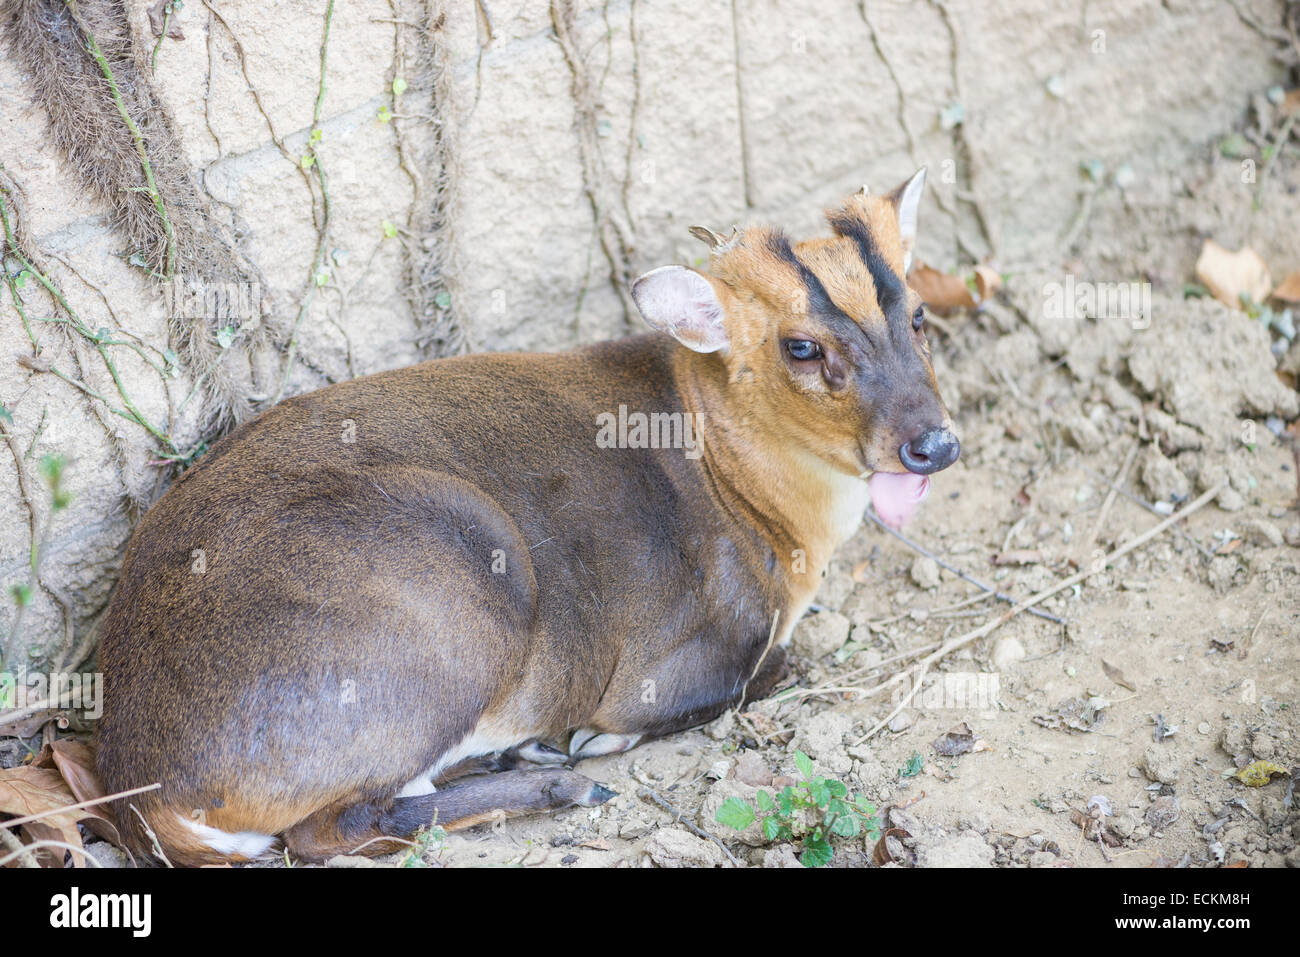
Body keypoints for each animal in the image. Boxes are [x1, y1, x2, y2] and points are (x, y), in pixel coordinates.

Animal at [94, 169, 959, 865]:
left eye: (918, 314)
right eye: (801, 346)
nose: (933, 443)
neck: (744, 493)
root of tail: (148, 791)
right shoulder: (672, 663)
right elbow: (767, 670)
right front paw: (584, 743)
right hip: (459, 597)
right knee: (332, 827)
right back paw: (559, 782)